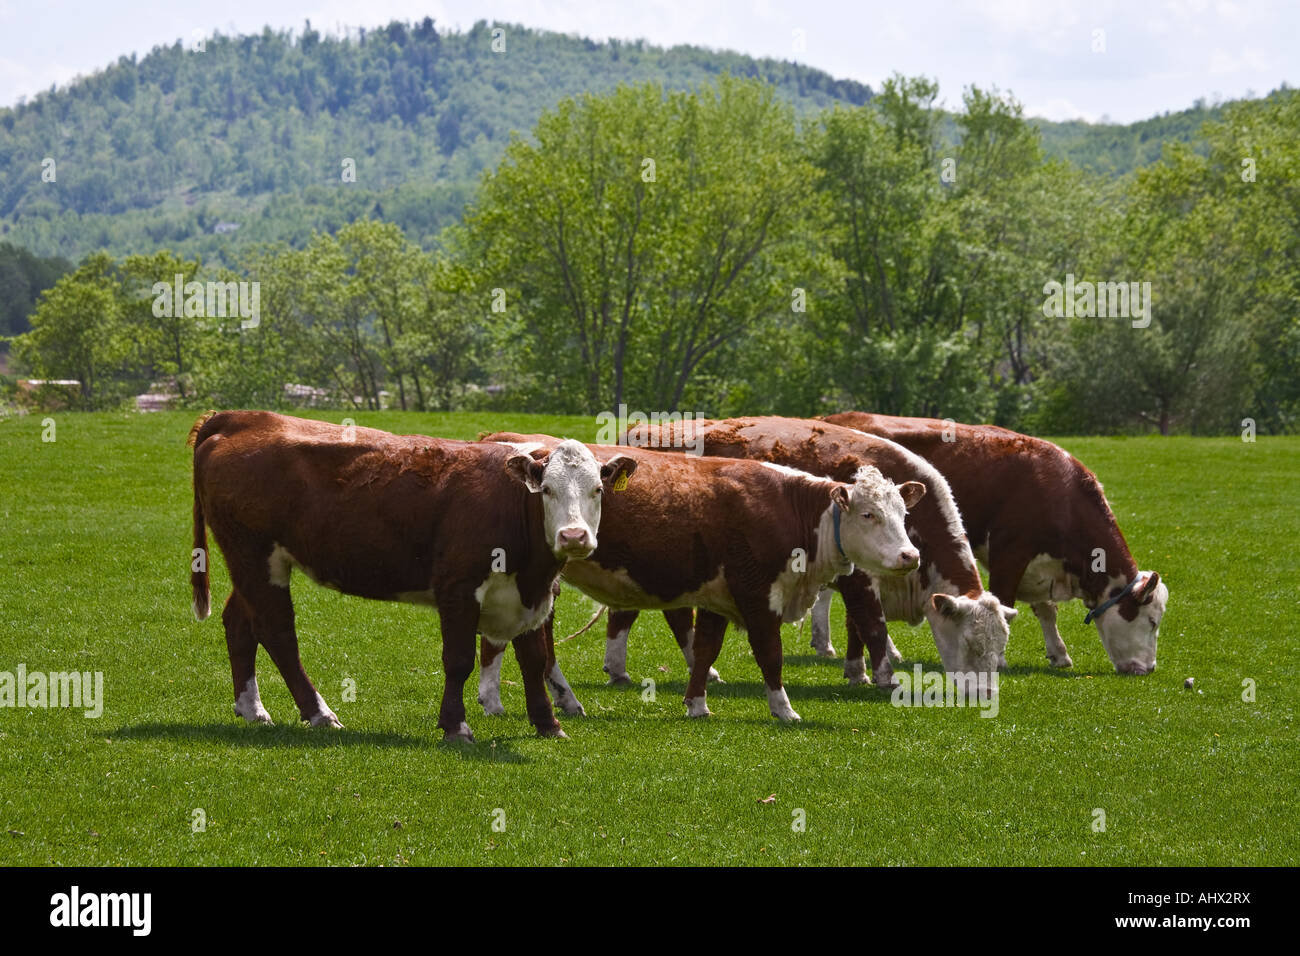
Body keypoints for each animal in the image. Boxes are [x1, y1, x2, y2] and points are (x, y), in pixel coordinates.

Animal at [188, 410, 634, 742]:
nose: (573, 536)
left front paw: (547, 724)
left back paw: (252, 707)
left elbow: (534, 658)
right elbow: (458, 660)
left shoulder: (532, 592)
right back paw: (319, 713)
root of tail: (243, 418)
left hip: (254, 562)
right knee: (278, 631)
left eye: (597, 489)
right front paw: (456, 726)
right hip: (254, 554)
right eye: (547, 490)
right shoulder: (459, 588)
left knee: (240, 622)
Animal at [477, 434, 925, 721]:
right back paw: (527, 698)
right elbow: (770, 653)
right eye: (868, 514)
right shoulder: (757, 595)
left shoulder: (718, 598)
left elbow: (706, 648)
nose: (911, 555)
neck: (787, 509)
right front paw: (784, 709)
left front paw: (696, 704)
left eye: (903, 514)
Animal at [610, 417, 1016, 688]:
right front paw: (884, 677)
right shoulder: (861, 579)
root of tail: (638, 433)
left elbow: (855, 626)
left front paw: (856, 671)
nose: (984, 693)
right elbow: (872, 624)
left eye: (1001, 646)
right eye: (970, 643)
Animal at [823, 412, 1168, 675]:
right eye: (1151, 622)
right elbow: (1004, 600)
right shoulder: (1010, 555)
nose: (1148, 669)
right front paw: (999, 658)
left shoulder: (1040, 566)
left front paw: (1059, 653)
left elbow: (1047, 611)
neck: (1060, 494)